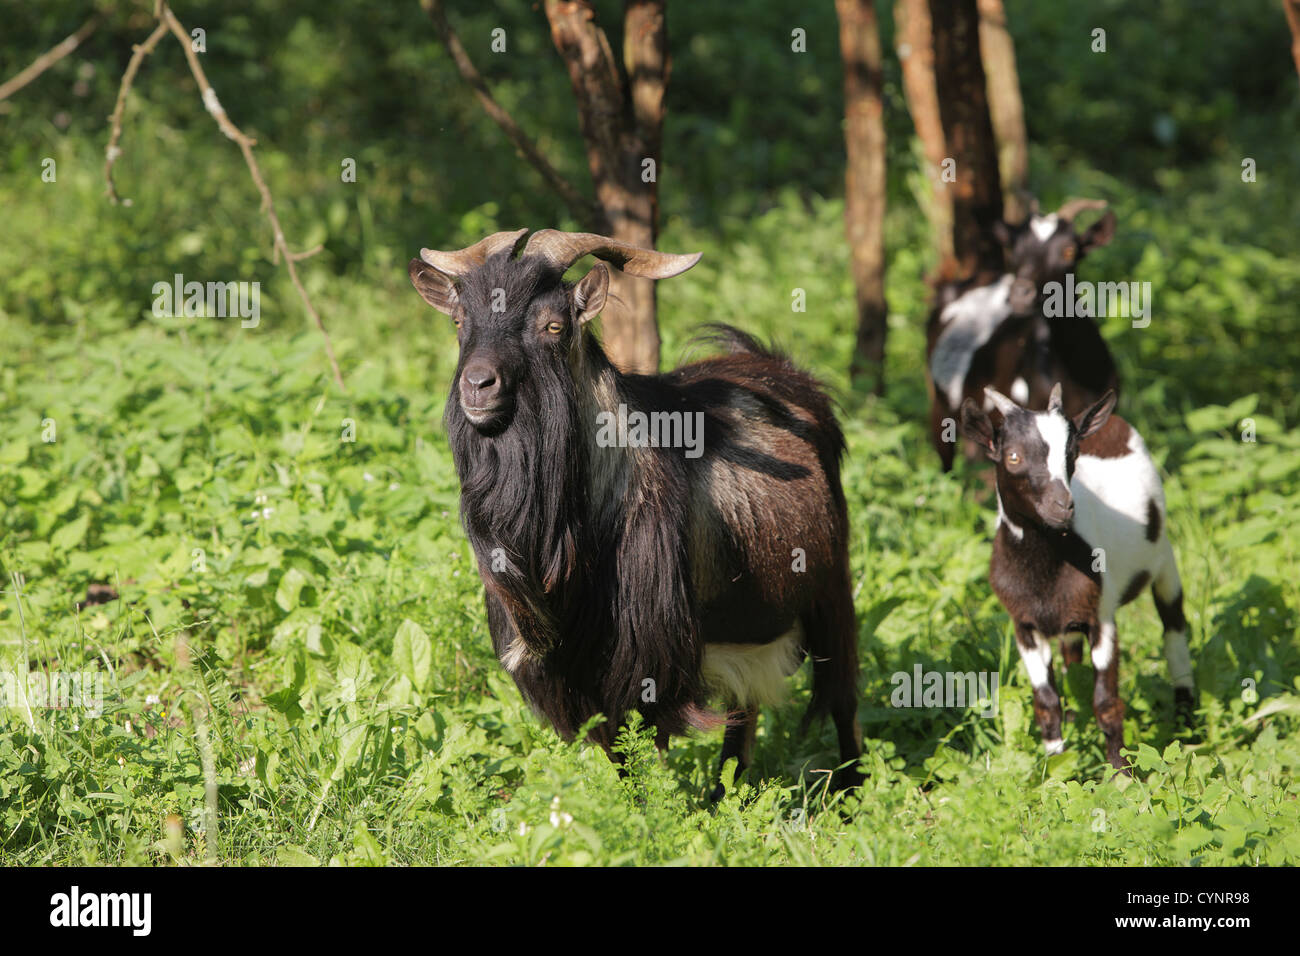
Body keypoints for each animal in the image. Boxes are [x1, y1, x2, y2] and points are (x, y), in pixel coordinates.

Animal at [407, 229, 863, 796]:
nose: (478, 384)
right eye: (458, 320)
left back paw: (855, 792)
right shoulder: (573, 675)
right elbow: (618, 757)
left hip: (831, 587)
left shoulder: (645, 665)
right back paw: (725, 796)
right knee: (745, 712)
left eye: (553, 325)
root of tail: (781, 369)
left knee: (842, 694)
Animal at [960, 384, 1194, 770]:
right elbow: (1046, 705)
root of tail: (1112, 421)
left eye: (1072, 454)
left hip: (1165, 561)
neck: (1044, 575)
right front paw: (1057, 769)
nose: (1062, 506)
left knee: (1174, 630)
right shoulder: (1025, 626)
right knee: (1071, 655)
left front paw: (1120, 774)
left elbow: (1107, 704)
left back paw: (1188, 722)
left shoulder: (1102, 617)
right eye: (1012, 456)